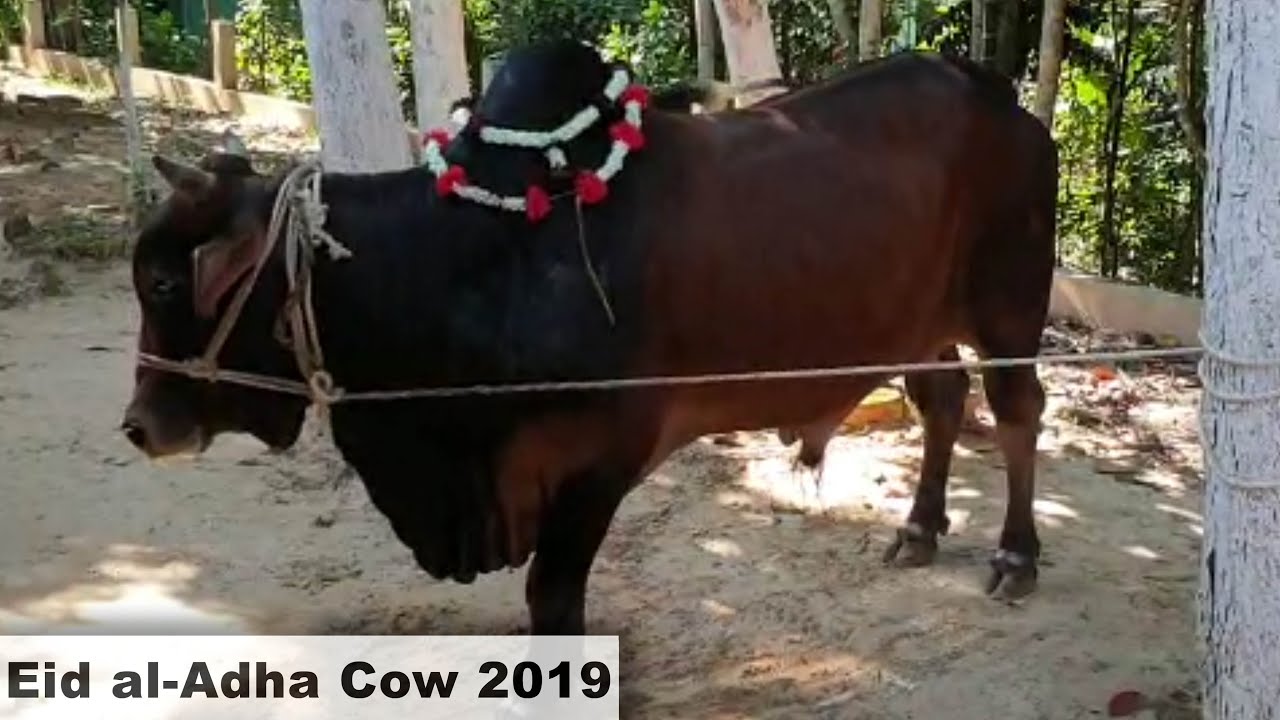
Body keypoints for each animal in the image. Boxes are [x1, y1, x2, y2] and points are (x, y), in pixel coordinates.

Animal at [119, 39, 1057, 635]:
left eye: (165, 282)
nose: (138, 426)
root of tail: (992, 88)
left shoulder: (598, 462)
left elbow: (553, 601)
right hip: (918, 323)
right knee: (943, 398)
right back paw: (921, 529)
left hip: (1009, 307)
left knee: (1016, 409)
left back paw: (1015, 556)